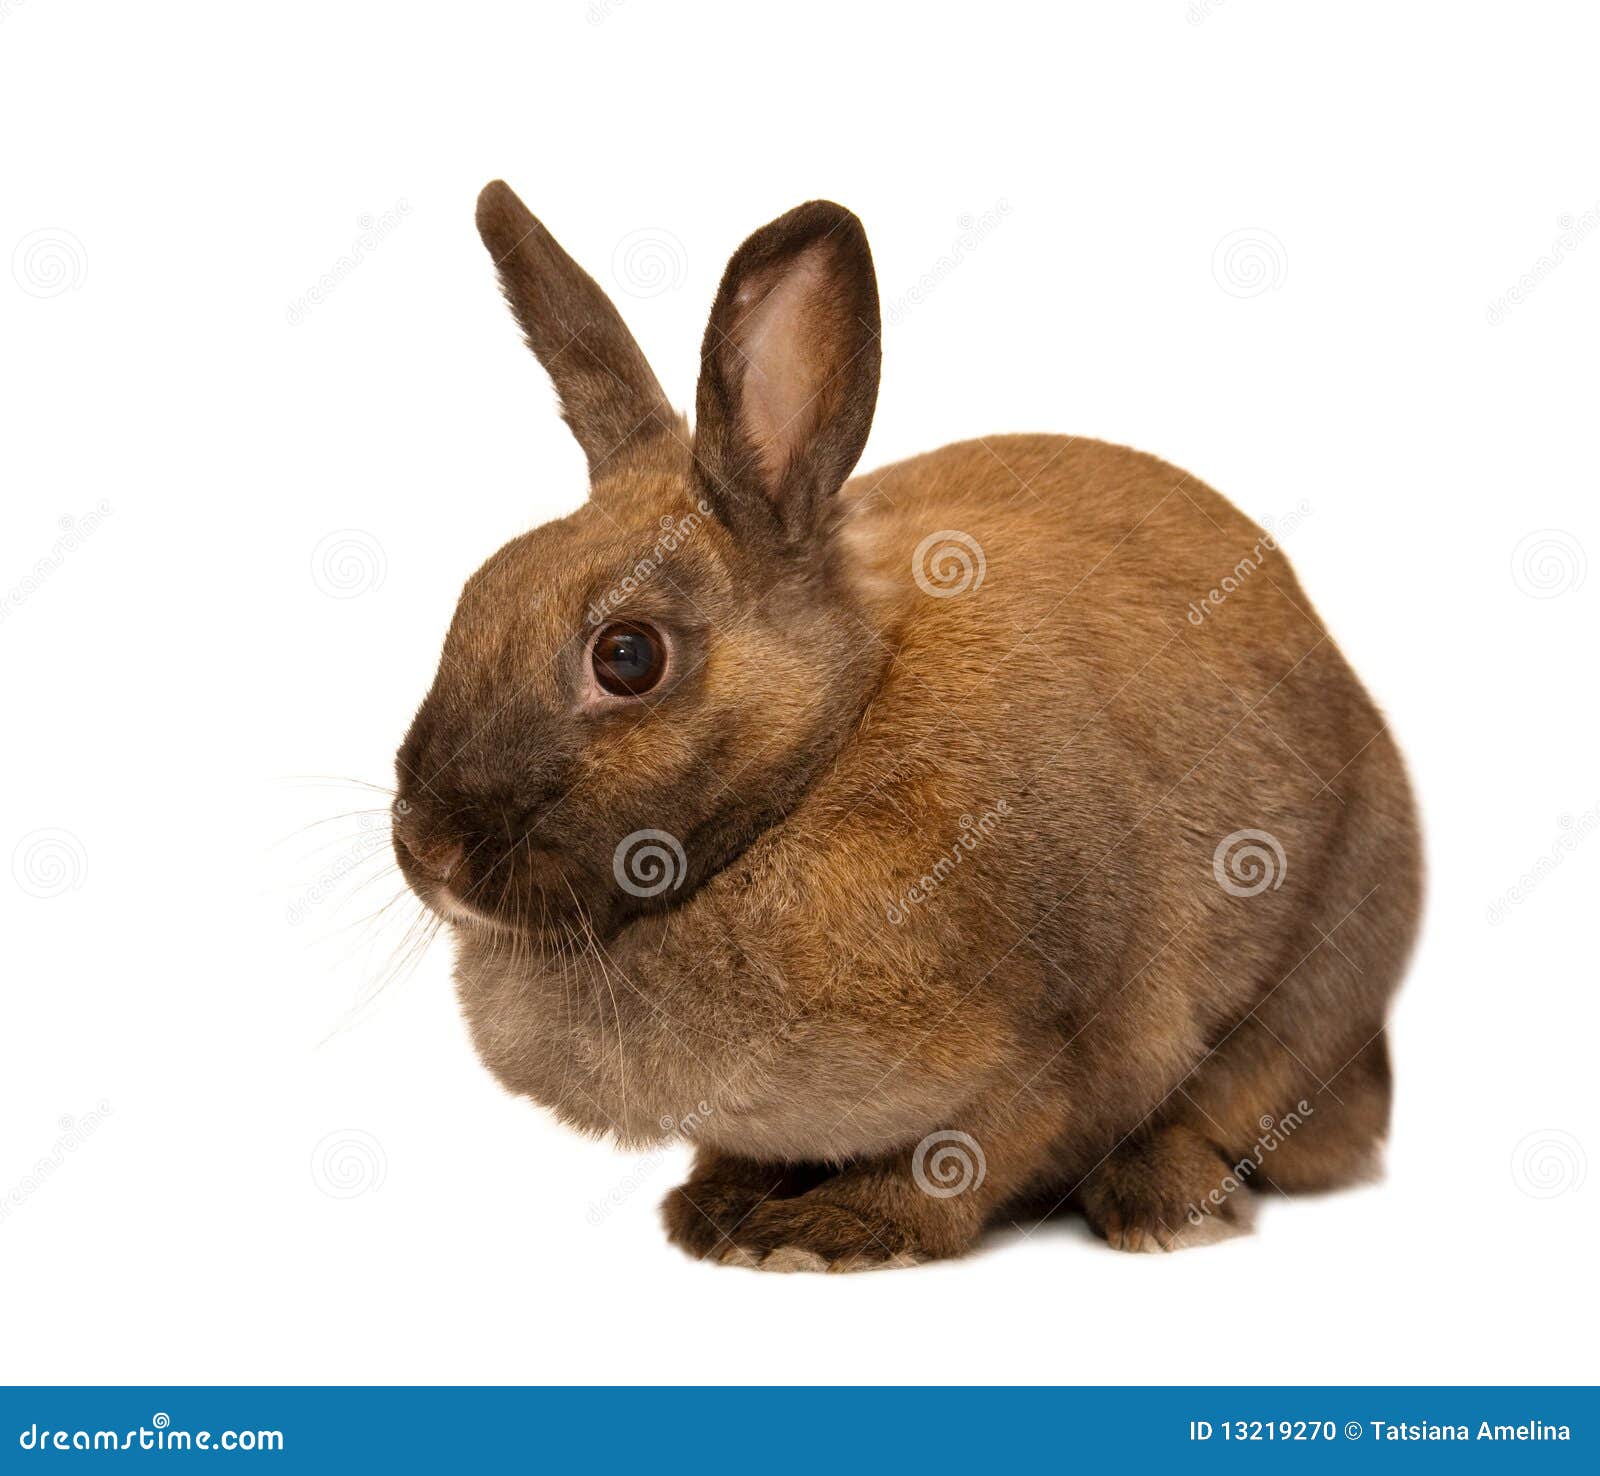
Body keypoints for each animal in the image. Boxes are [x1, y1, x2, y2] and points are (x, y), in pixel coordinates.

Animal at [390, 179, 1422, 1271]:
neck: (823, 755)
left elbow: (967, 1156)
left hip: (1309, 992)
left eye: (627, 657)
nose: (428, 848)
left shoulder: (1058, 1048)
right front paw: (718, 1213)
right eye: (474, 596)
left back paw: (1167, 1206)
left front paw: (828, 1236)